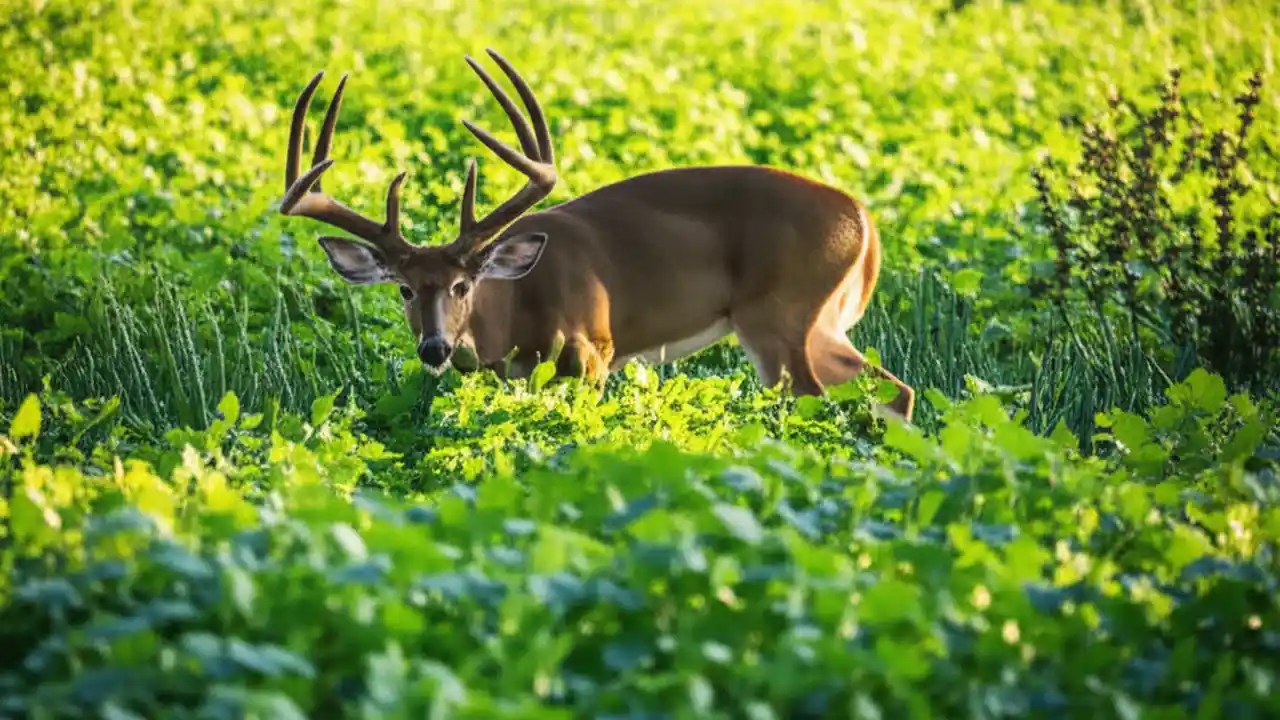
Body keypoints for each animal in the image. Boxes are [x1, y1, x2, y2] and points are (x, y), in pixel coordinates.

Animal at [278, 49, 915, 421]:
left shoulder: (595, 351)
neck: (516, 310)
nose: (435, 348)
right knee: (893, 390)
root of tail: (864, 217)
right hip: (820, 321)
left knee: (818, 399)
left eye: (464, 284)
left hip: (780, 313)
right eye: (405, 289)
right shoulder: (514, 377)